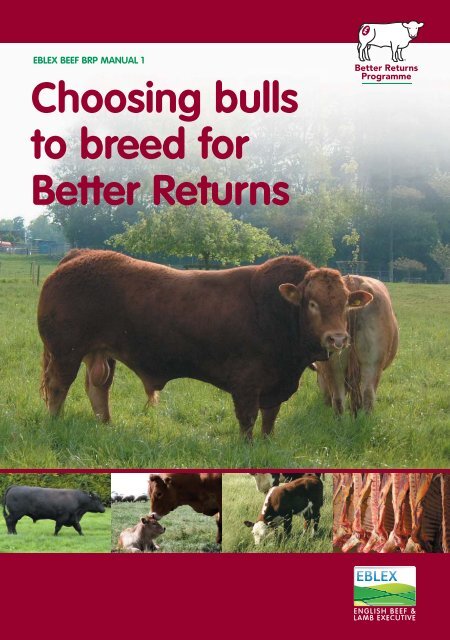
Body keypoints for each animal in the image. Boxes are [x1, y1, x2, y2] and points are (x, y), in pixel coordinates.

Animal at [37, 250, 373, 439]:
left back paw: (106, 425)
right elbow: (248, 420)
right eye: (312, 303)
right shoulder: (247, 383)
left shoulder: (277, 383)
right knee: (58, 387)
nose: (338, 338)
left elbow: (269, 419)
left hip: (99, 353)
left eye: (345, 303)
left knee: (98, 389)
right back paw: (53, 422)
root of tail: (78, 257)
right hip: (65, 352)